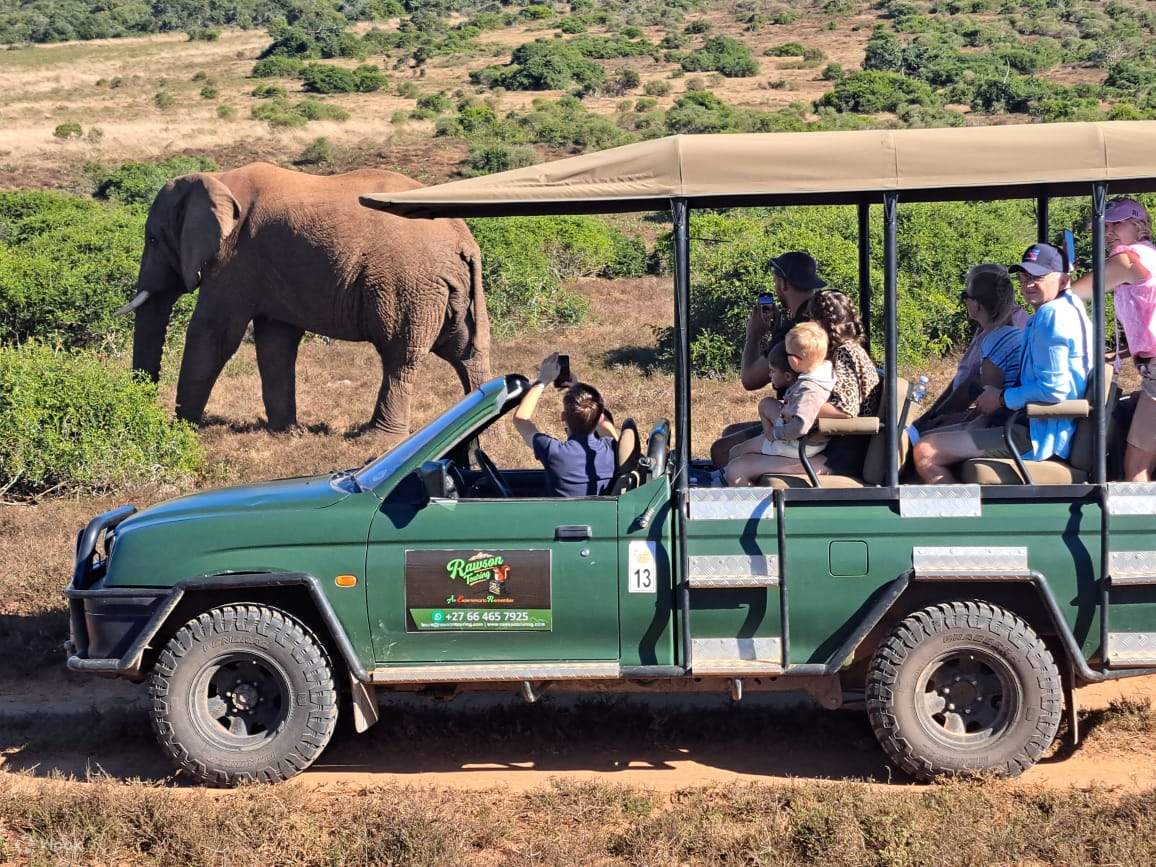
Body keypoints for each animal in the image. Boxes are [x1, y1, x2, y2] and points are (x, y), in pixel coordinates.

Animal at [118, 162, 490, 436]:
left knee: (401, 356)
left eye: (153, 239)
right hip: (448, 288)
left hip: (409, 285)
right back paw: (487, 430)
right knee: (464, 351)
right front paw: (286, 432)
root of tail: (464, 241)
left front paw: (183, 429)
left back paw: (377, 437)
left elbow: (214, 335)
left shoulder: (236, 257)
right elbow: (275, 344)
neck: (217, 178)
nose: (145, 408)